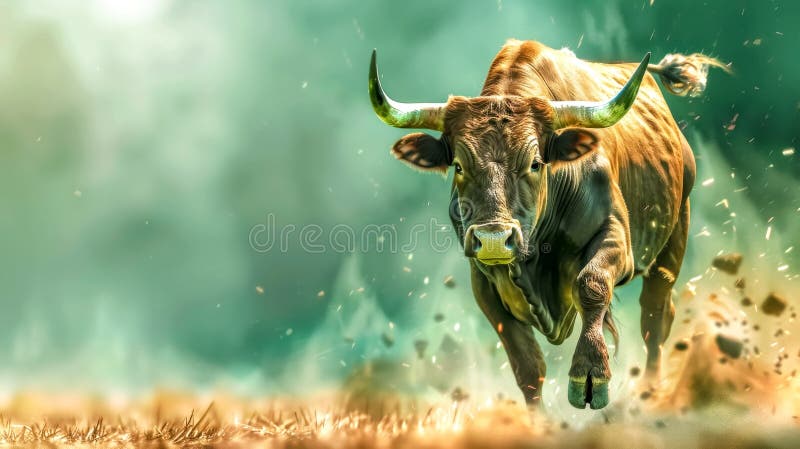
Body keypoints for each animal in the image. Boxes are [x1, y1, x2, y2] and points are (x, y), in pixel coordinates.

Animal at [368, 39, 727, 410]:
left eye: (535, 162)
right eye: (458, 166)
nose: (494, 239)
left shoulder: (618, 241)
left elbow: (592, 283)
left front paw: (590, 374)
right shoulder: (483, 281)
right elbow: (527, 365)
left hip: (674, 238)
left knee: (654, 320)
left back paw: (651, 391)